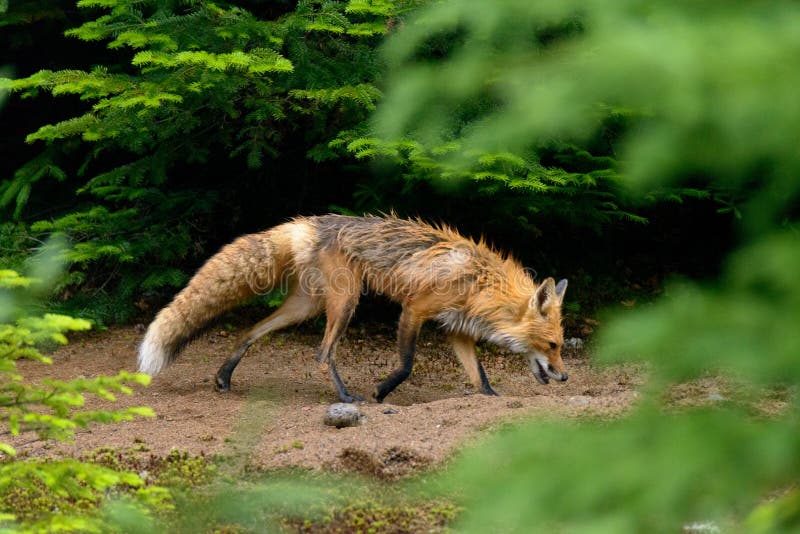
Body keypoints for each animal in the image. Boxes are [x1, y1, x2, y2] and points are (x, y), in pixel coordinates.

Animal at [138, 214, 569, 403]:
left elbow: (478, 375)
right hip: (346, 303)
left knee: (251, 330)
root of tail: (310, 222)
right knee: (322, 353)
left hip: (306, 306)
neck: (479, 282)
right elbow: (407, 363)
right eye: (553, 346)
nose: (564, 377)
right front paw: (382, 391)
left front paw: (491, 398)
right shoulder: (414, 309)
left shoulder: (456, 329)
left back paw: (225, 376)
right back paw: (346, 398)